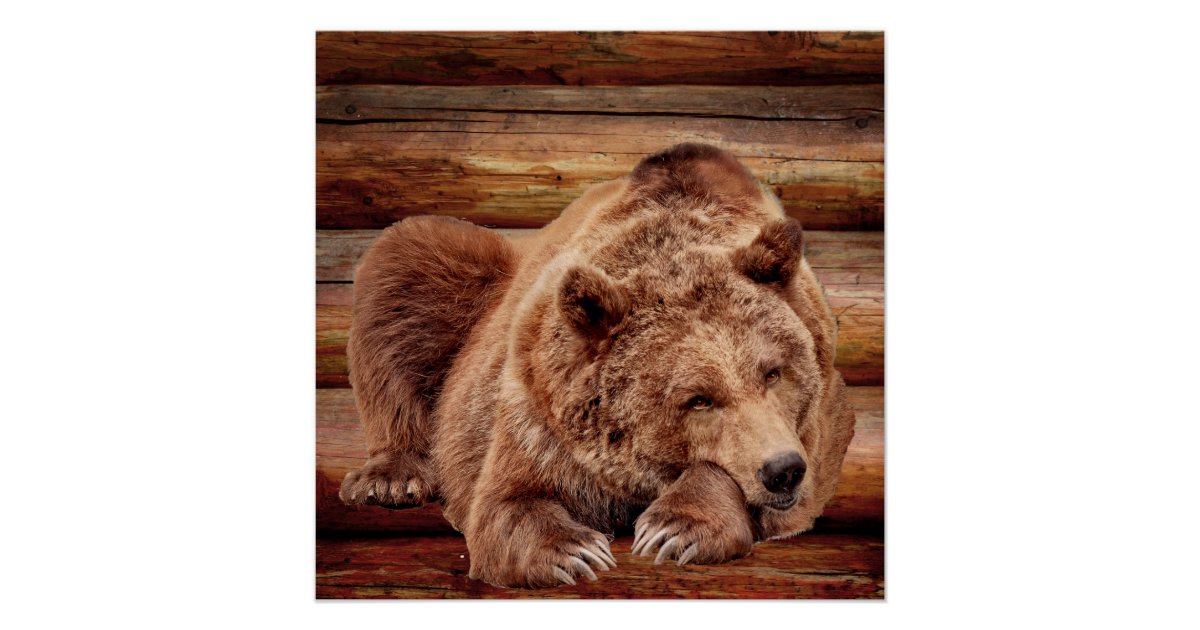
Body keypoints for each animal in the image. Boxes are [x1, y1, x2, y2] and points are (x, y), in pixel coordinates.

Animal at [339, 143, 857, 588]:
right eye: (698, 399)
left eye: (773, 373)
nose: (782, 470)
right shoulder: (540, 410)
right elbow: (505, 500)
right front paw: (573, 551)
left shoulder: (819, 426)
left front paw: (674, 529)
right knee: (407, 260)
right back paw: (391, 479)